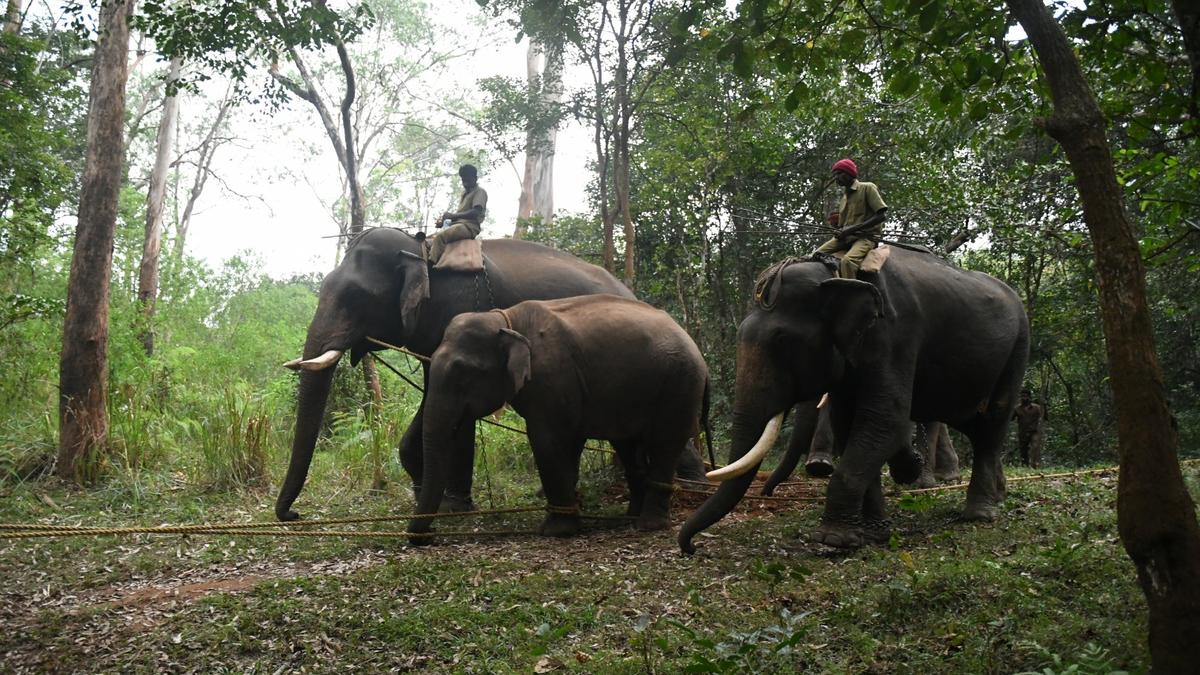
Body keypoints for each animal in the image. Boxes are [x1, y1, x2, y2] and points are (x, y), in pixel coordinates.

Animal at [275, 227, 634, 522]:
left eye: (355, 297)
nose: (294, 515)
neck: (419, 251)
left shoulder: (458, 311)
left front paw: (452, 506)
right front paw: (424, 494)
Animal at [409, 294, 711, 539]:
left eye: (462, 373)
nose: (427, 537)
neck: (505, 318)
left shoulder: (553, 377)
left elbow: (548, 441)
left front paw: (555, 531)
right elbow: (569, 444)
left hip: (680, 385)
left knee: (664, 444)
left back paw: (648, 525)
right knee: (628, 445)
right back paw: (630, 517)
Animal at [679, 246, 1028, 552]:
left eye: (782, 342)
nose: (691, 547)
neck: (839, 272)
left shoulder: (895, 334)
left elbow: (884, 418)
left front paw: (833, 539)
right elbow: (849, 425)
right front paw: (874, 533)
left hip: (1018, 349)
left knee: (993, 421)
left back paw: (979, 515)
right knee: (973, 423)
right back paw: (996, 495)